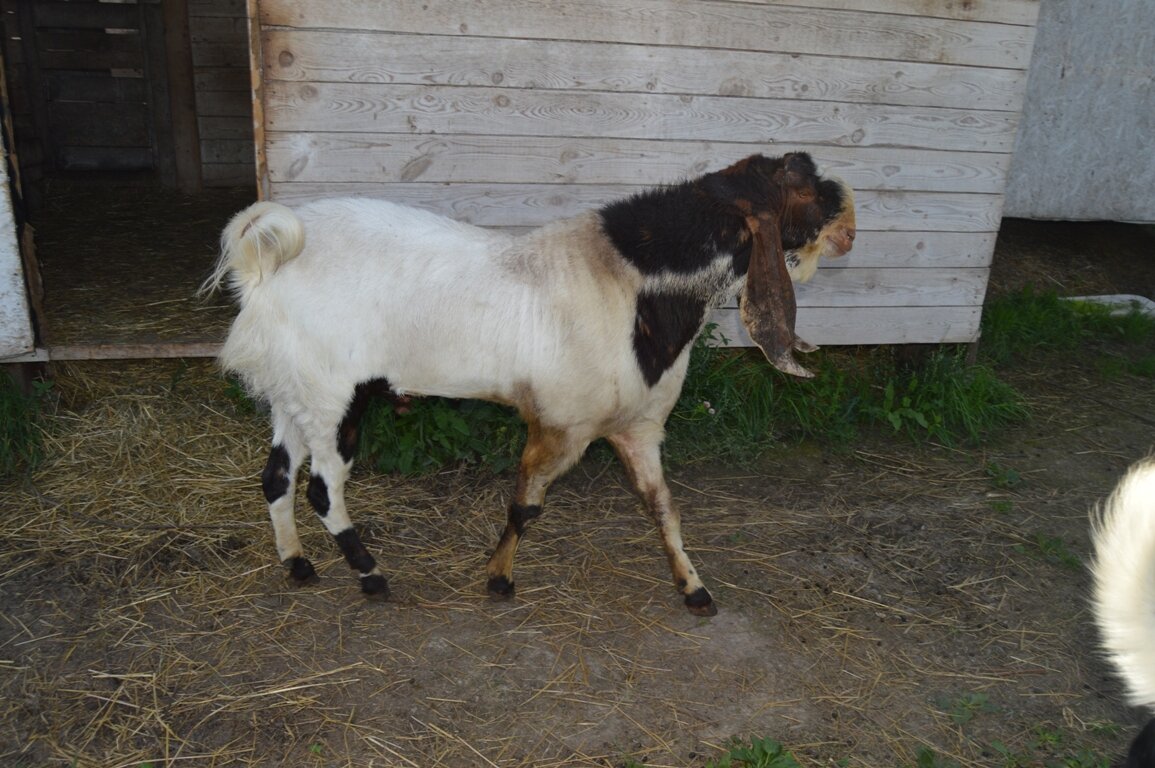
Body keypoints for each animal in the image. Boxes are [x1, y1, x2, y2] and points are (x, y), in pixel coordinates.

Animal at [205, 152, 859, 614]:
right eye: (802, 188)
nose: (849, 225)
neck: (632, 282)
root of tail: (263, 261)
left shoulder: (639, 426)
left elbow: (663, 507)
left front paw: (693, 588)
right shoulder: (560, 424)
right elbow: (526, 505)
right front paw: (498, 579)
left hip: (293, 391)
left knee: (276, 476)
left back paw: (297, 564)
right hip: (334, 395)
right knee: (321, 488)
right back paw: (370, 574)